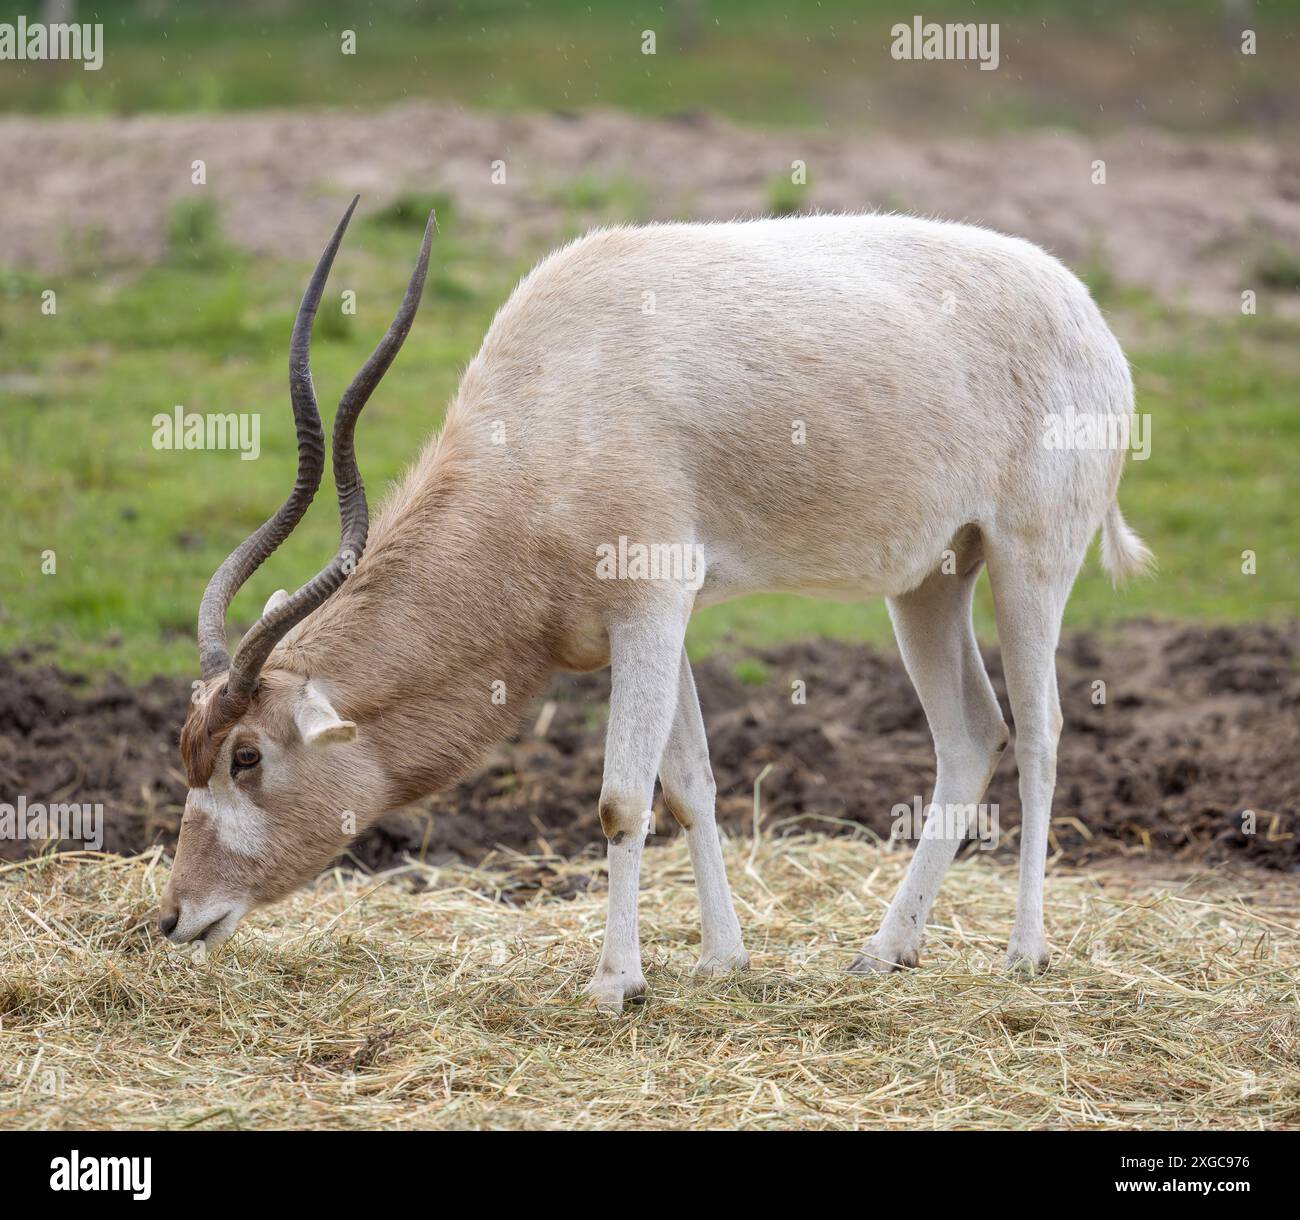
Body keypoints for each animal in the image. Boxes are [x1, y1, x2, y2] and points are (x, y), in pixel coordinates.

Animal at [162, 198, 1151, 1011]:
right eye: (192, 757)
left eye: (247, 756)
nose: (175, 918)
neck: (550, 413)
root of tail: (1086, 311)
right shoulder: (652, 620)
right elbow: (688, 785)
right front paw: (721, 960)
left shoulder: (648, 605)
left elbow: (619, 801)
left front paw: (615, 983)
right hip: (931, 579)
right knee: (973, 734)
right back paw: (885, 951)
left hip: (1029, 561)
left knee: (1041, 729)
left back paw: (1025, 953)